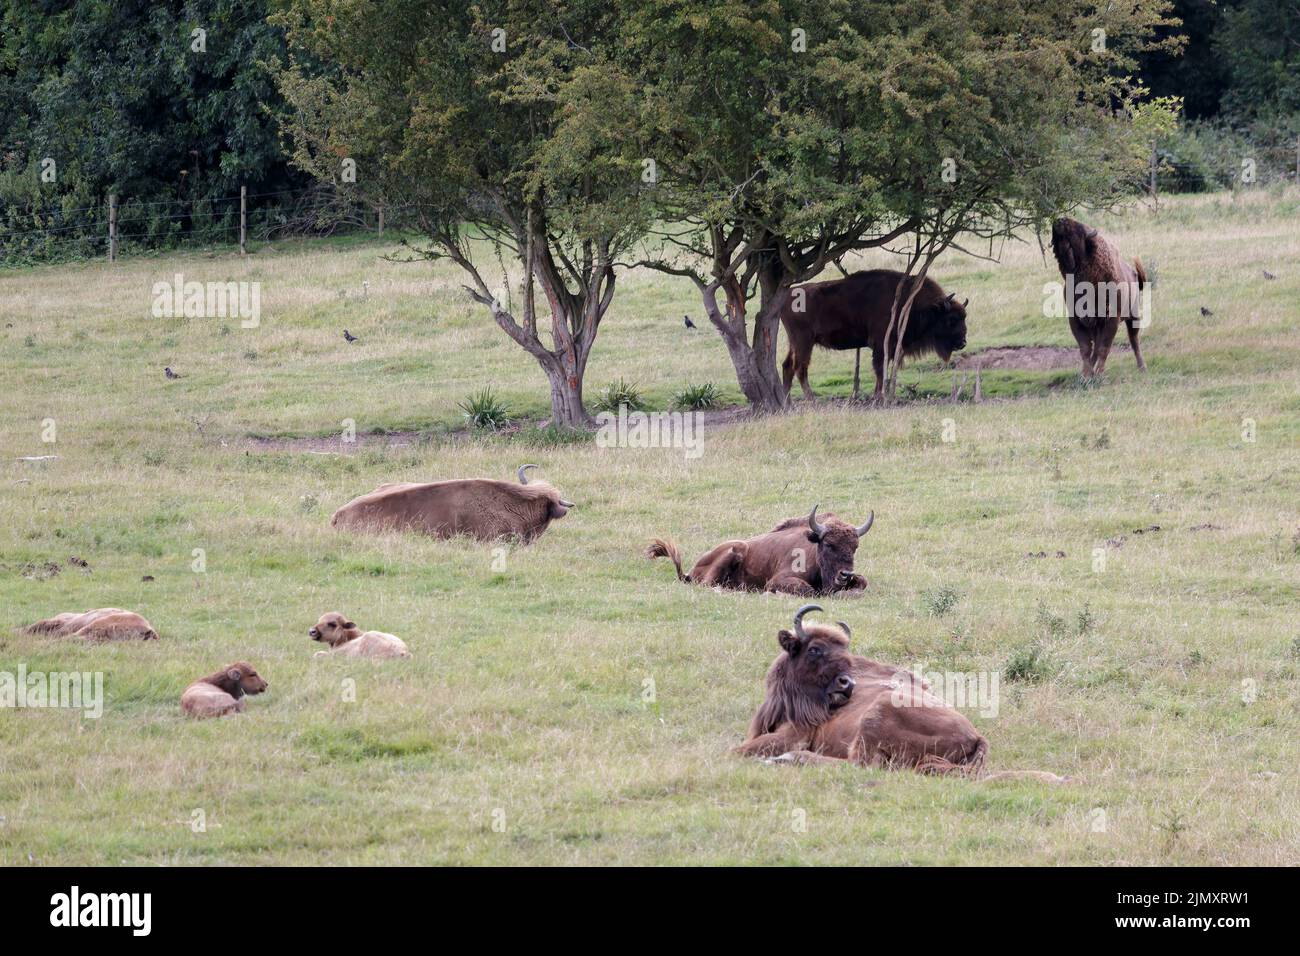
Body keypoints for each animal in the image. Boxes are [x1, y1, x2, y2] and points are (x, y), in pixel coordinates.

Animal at [647, 505, 873, 596]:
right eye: (828, 544)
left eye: (855, 547)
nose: (845, 574)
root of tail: (691, 570)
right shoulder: (779, 579)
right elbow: (809, 591)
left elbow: (863, 581)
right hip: (735, 549)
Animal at [780, 269, 968, 400]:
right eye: (951, 319)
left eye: (964, 317)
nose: (962, 343)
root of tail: (787, 297)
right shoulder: (881, 345)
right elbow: (879, 369)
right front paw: (879, 396)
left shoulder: (890, 348)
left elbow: (882, 369)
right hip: (804, 341)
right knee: (800, 368)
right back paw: (811, 400)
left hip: (795, 342)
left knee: (787, 366)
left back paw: (787, 402)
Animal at [1050, 217, 1147, 377]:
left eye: (1078, 231)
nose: (1060, 220)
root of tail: (1133, 273)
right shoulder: (1076, 319)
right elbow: (1085, 348)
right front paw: (1086, 374)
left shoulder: (1111, 320)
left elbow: (1104, 348)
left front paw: (1099, 373)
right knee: (1095, 347)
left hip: (1133, 317)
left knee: (1134, 340)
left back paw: (1142, 367)